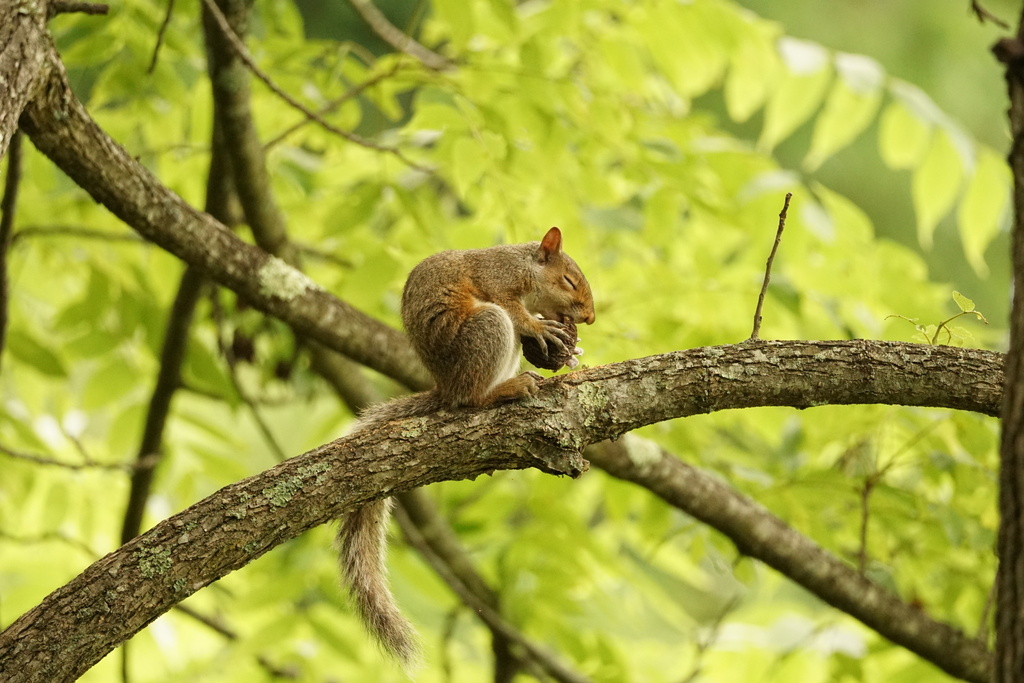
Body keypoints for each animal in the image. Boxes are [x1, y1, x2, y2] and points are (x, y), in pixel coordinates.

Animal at [337, 226, 595, 668]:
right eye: (568, 281)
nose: (590, 318)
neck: (525, 267)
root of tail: (446, 386)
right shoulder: (497, 282)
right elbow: (515, 310)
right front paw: (542, 327)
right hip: (487, 329)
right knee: (471, 398)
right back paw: (504, 390)